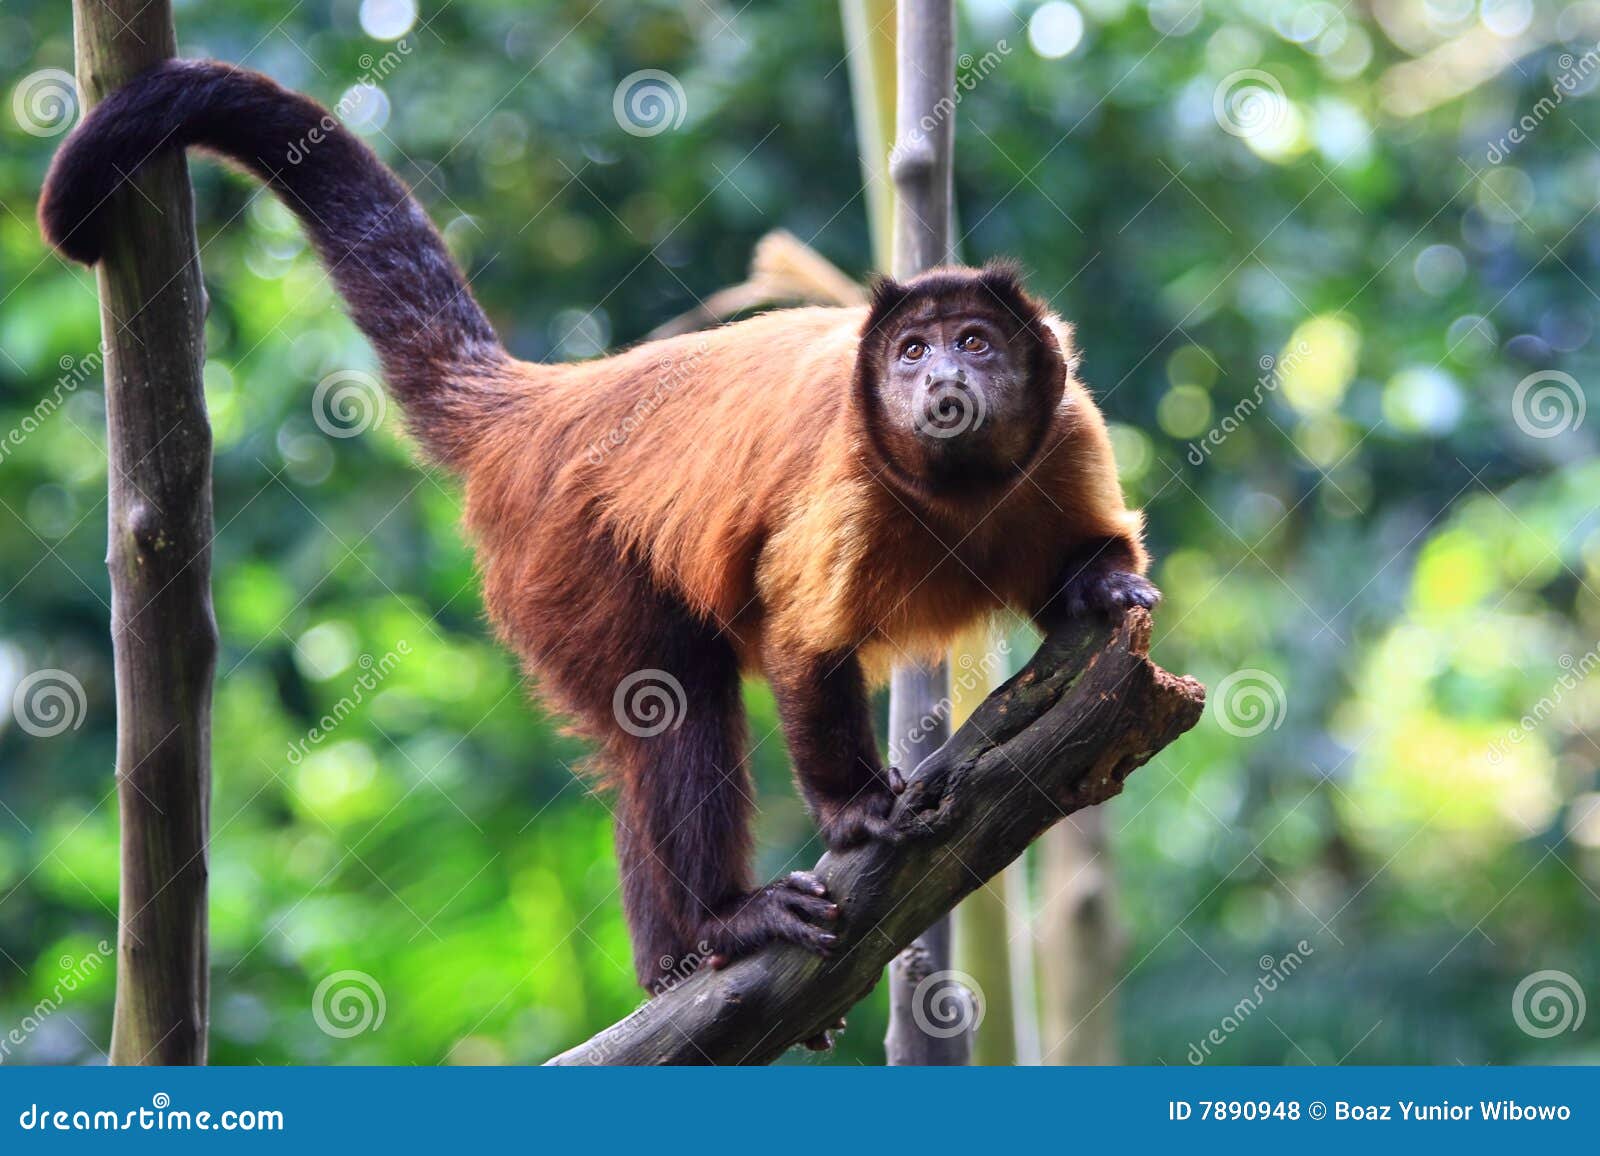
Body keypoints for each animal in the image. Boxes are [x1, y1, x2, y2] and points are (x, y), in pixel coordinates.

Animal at [40, 60, 1157, 994]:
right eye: (912, 351)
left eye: (975, 341)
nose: (940, 381)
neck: (955, 489)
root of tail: (550, 402)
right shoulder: (850, 481)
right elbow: (803, 647)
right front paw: (856, 810)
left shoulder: (1069, 430)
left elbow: (1082, 561)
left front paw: (1106, 589)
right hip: (559, 552)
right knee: (671, 705)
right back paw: (720, 924)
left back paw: (676, 959)